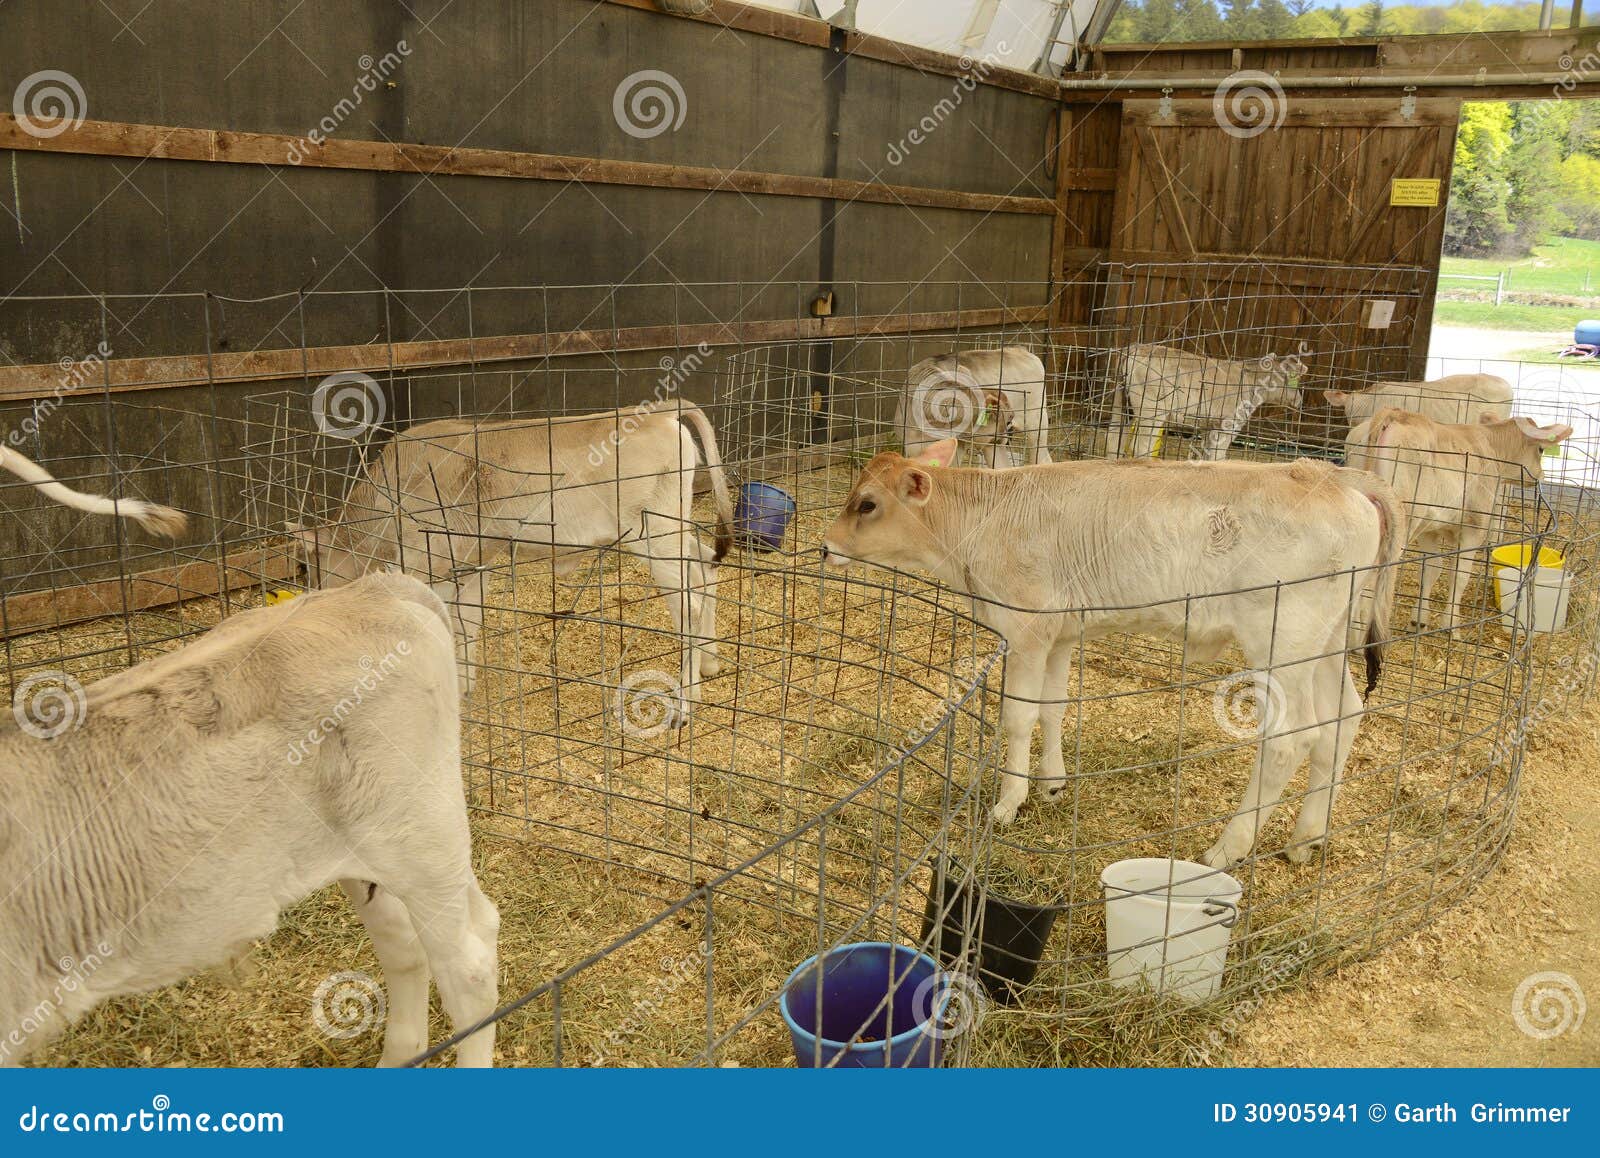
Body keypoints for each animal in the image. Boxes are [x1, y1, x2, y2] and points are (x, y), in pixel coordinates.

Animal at [291, 403, 734, 721]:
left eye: (307, 567)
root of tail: (660, 413)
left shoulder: (428, 560)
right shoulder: (474, 560)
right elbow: (466, 622)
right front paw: (463, 686)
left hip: (654, 533)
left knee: (689, 603)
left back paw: (687, 698)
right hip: (673, 527)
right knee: (705, 567)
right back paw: (710, 662)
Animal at [822, 441, 1406, 869]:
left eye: (867, 503)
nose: (826, 547)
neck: (983, 520)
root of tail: (1332, 475)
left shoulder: (1027, 629)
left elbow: (1017, 717)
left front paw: (1009, 803)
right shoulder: (1060, 635)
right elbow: (1052, 709)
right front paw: (1053, 783)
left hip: (1281, 641)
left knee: (1288, 740)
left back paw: (1227, 848)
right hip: (1327, 639)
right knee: (1342, 718)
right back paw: (1307, 837)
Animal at [1110, 343, 1304, 460]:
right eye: (1292, 377)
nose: (1300, 400)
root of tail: (1135, 348)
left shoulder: (1209, 426)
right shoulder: (1228, 425)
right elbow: (1218, 456)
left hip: (1122, 403)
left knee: (1115, 438)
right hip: (1152, 409)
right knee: (1140, 446)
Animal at [1343, 408, 1572, 629]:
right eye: (1541, 450)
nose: (1540, 476)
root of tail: (1393, 413)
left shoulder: (1431, 529)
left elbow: (1431, 570)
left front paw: (1419, 620)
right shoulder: (1474, 526)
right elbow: (1459, 574)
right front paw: (1451, 625)